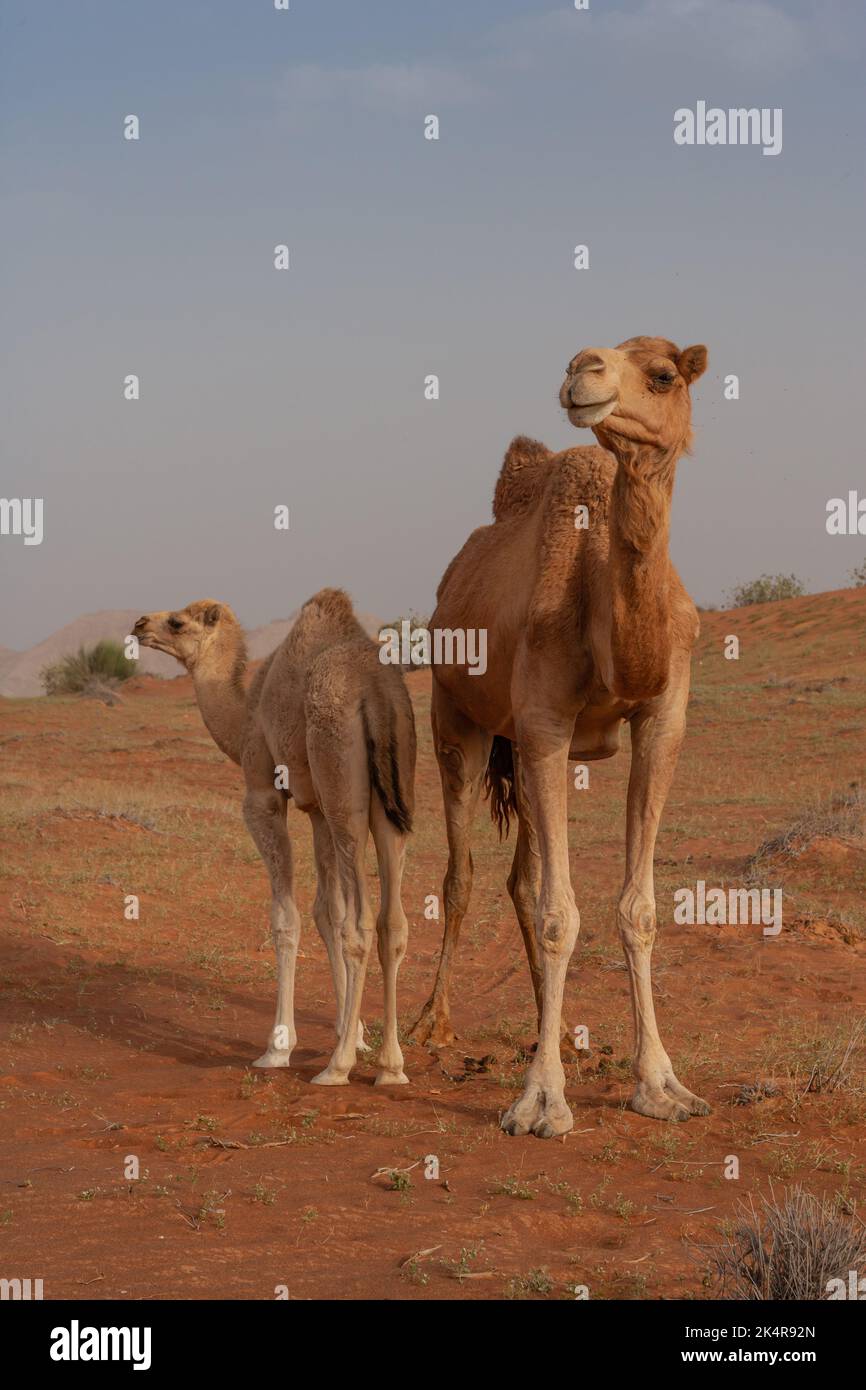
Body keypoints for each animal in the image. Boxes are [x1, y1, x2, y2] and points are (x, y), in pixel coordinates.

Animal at [133, 588, 416, 1087]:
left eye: (178, 622)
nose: (140, 624)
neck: (244, 717)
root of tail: (375, 690)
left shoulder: (265, 795)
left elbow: (289, 917)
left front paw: (279, 1047)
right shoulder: (316, 810)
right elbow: (328, 912)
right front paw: (353, 1032)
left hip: (342, 787)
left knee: (363, 922)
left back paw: (337, 1068)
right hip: (390, 803)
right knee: (392, 923)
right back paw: (391, 1067)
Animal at [409, 336, 712, 1138]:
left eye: (663, 374)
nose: (584, 370)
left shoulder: (663, 719)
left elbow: (635, 909)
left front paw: (661, 1085)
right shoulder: (544, 722)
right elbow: (556, 914)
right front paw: (540, 1102)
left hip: (520, 745)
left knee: (520, 878)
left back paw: (553, 1027)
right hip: (458, 720)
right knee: (461, 875)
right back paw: (430, 1024)